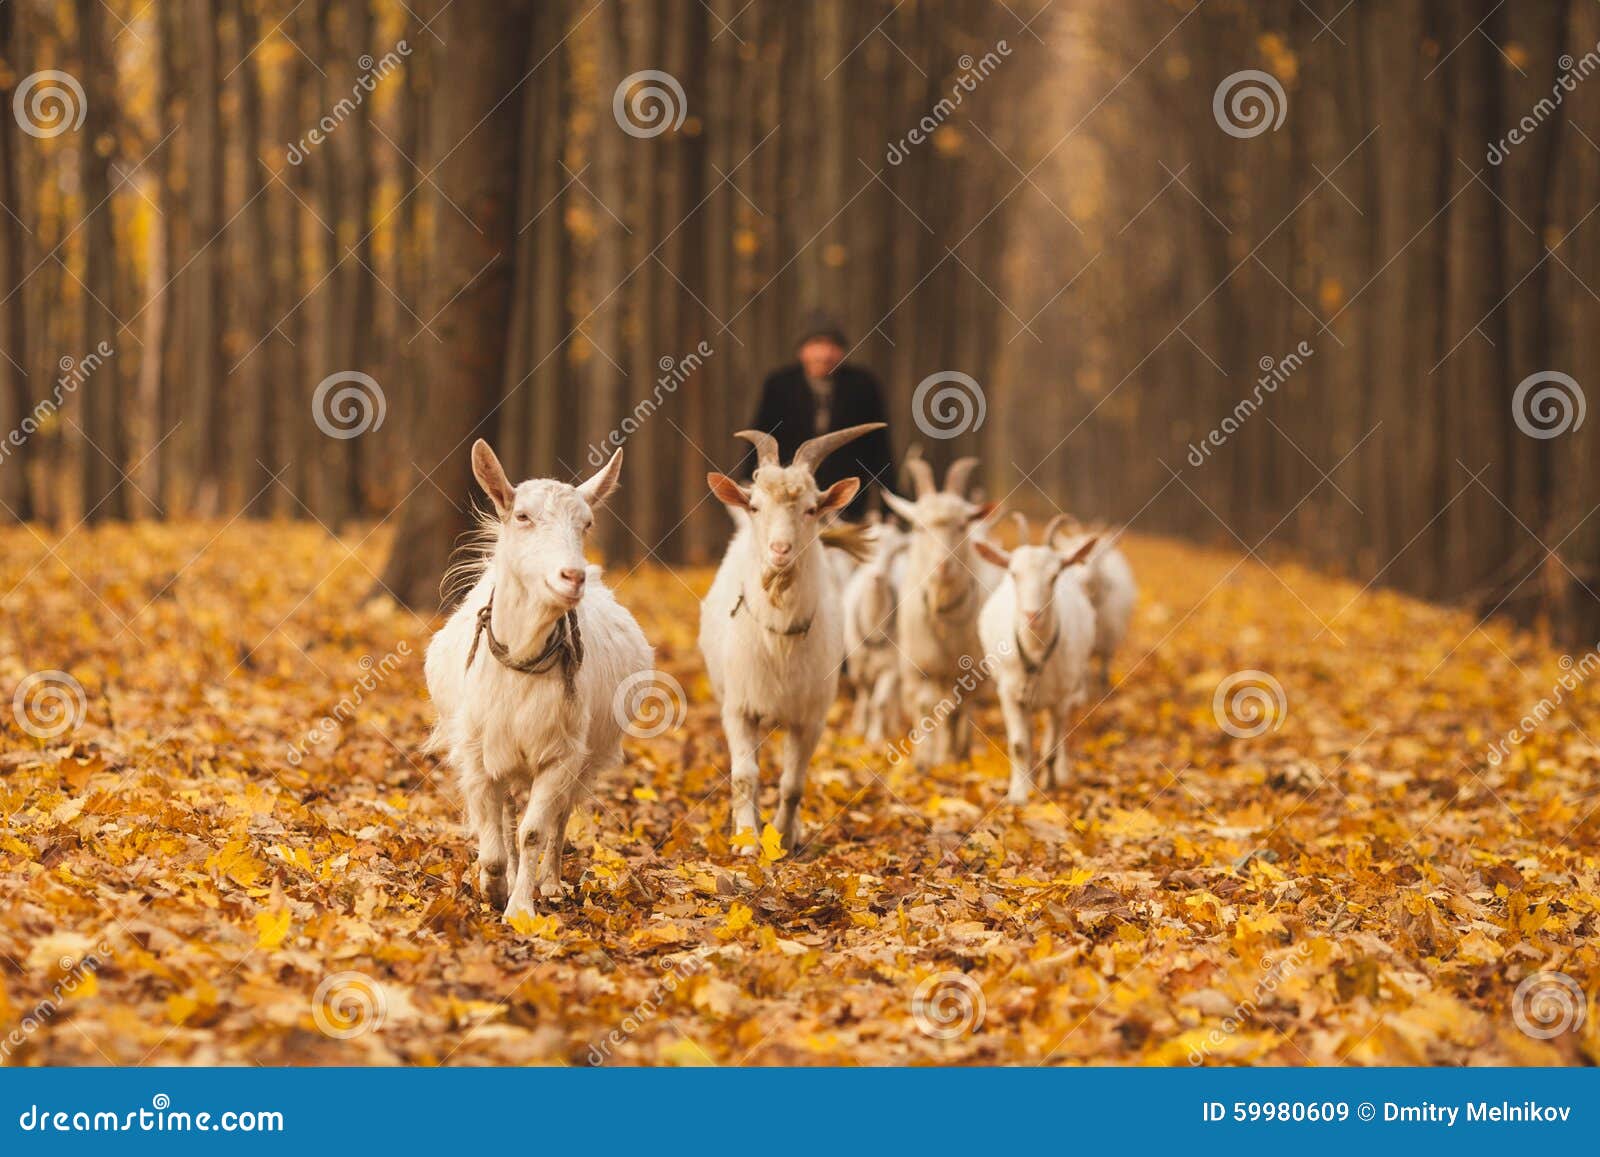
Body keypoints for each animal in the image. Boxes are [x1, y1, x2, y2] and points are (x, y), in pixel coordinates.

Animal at [424, 440, 652, 919]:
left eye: (586, 523)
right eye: (523, 516)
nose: (572, 576)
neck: (521, 663)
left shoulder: (561, 755)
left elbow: (533, 832)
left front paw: (520, 909)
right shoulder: (477, 753)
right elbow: (494, 837)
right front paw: (494, 888)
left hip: (586, 758)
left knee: (559, 816)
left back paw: (549, 882)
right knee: (509, 814)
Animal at [698, 422, 885, 852]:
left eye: (812, 509)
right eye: (754, 506)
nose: (780, 550)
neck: (778, 639)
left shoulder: (810, 717)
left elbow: (794, 783)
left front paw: (783, 837)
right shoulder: (739, 707)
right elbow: (745, 775)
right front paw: (748, 841)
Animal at [881, 456, 998, 769]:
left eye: (961, 525)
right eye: (918, 527)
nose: (943, 565)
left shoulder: (967, 668)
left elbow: (958, 708)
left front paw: (951, 755)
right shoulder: (917, 666)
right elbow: (924, 706)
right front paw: (924, 760)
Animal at [975, 517, 1099, 803]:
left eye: (1054, 576)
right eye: (1013, 574)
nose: (1032, 615)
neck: (1035, 652)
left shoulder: (1061, 696)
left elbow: (1052, 746)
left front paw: (1050, 784)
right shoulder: (1009, 693)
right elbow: (1019, 745)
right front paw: (1019, 793)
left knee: (1061, 733)